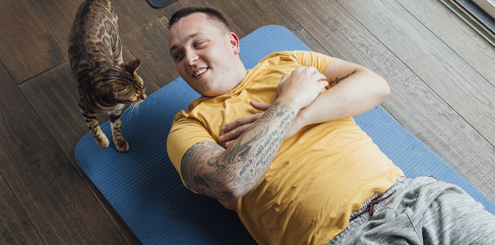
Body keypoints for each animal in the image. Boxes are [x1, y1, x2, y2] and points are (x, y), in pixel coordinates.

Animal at [68, 0, 145, 152]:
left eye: (143, 86)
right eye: (135, 96)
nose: (144, 97)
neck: (111, 104)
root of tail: (94, 0)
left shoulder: (116, 111)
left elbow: (116, 127)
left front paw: (119, 142)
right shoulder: (83, 106)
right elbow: (93, 127)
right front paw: (102, 142)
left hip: (116, 46)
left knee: (120, 60)